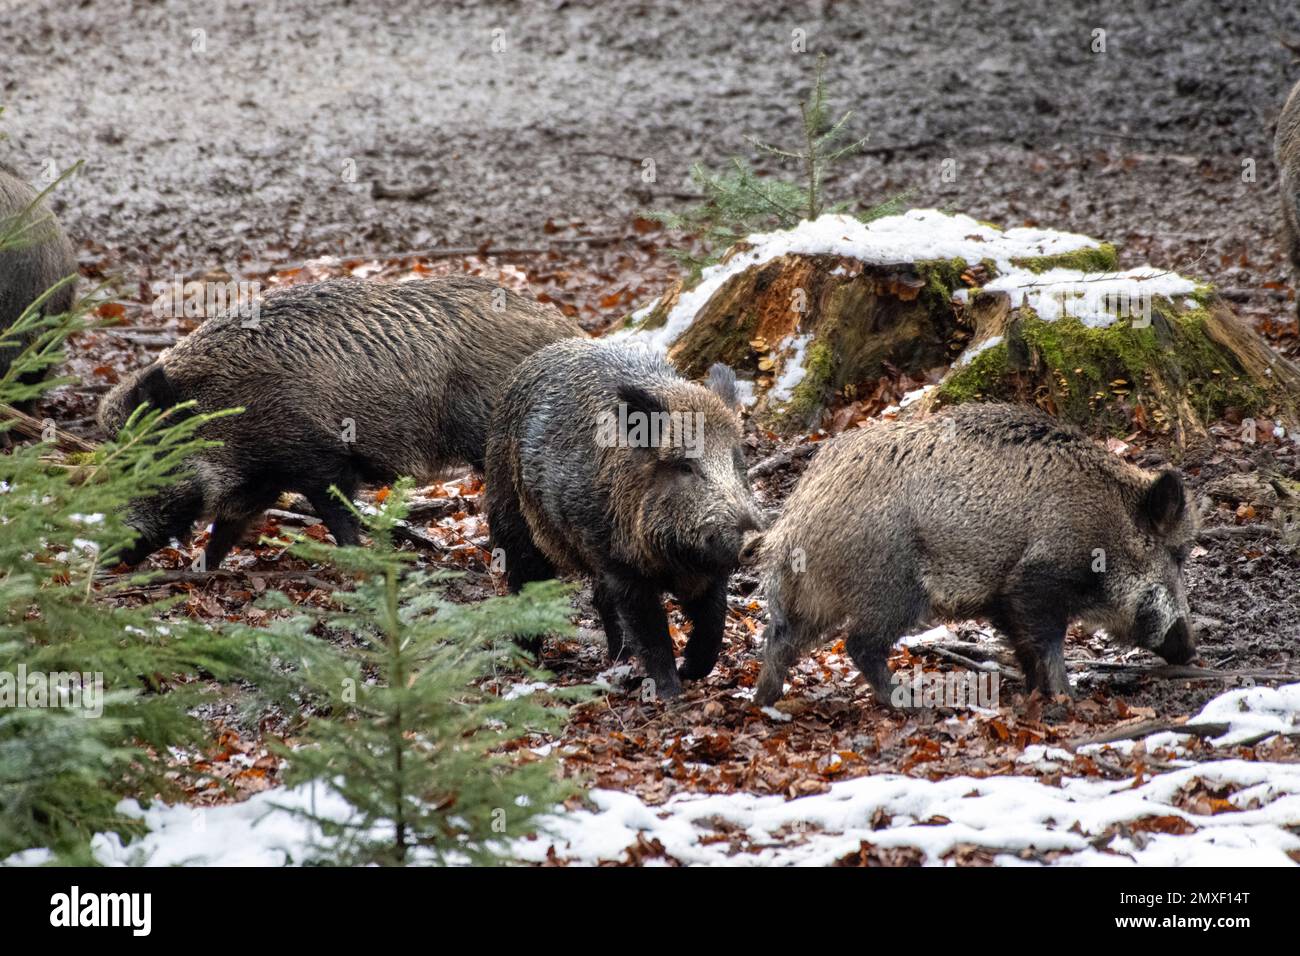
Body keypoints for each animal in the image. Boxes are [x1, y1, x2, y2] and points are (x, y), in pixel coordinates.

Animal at [97, 276, 582, 568]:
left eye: (145, 461)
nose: (107, 551)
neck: (228, 407)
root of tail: (567, 331)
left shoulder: (322, 458)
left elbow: (340, 515)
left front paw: (358, 563)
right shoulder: (260, 478)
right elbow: (228, 525)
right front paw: (204, 569)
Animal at [484, 339, 764, 697]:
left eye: (735, 460)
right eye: (686, 466)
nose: (753, 538)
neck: (674, 559)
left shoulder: (706, 572)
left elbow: (714, 622)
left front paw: (691, 671)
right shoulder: (622, 566)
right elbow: (652, 631)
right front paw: (670, 693)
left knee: (600, 599)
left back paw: (620, 660)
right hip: (512, 518)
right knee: (525, 585)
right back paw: (527, 662)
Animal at [753, 402, 1197, 708]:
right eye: (1177, 555)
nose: (1191, 651)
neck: (1107, 524)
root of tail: (794, 518)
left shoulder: (1004, 596)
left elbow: (1025, 646)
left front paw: (1038, 693)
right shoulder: (1037, 581)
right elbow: (1048, 644)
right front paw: (1067, 699)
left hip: (816, 596)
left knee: (780, 637)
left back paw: (765, 702)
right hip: (891, 587)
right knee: (859, 644)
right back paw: (911, 704)